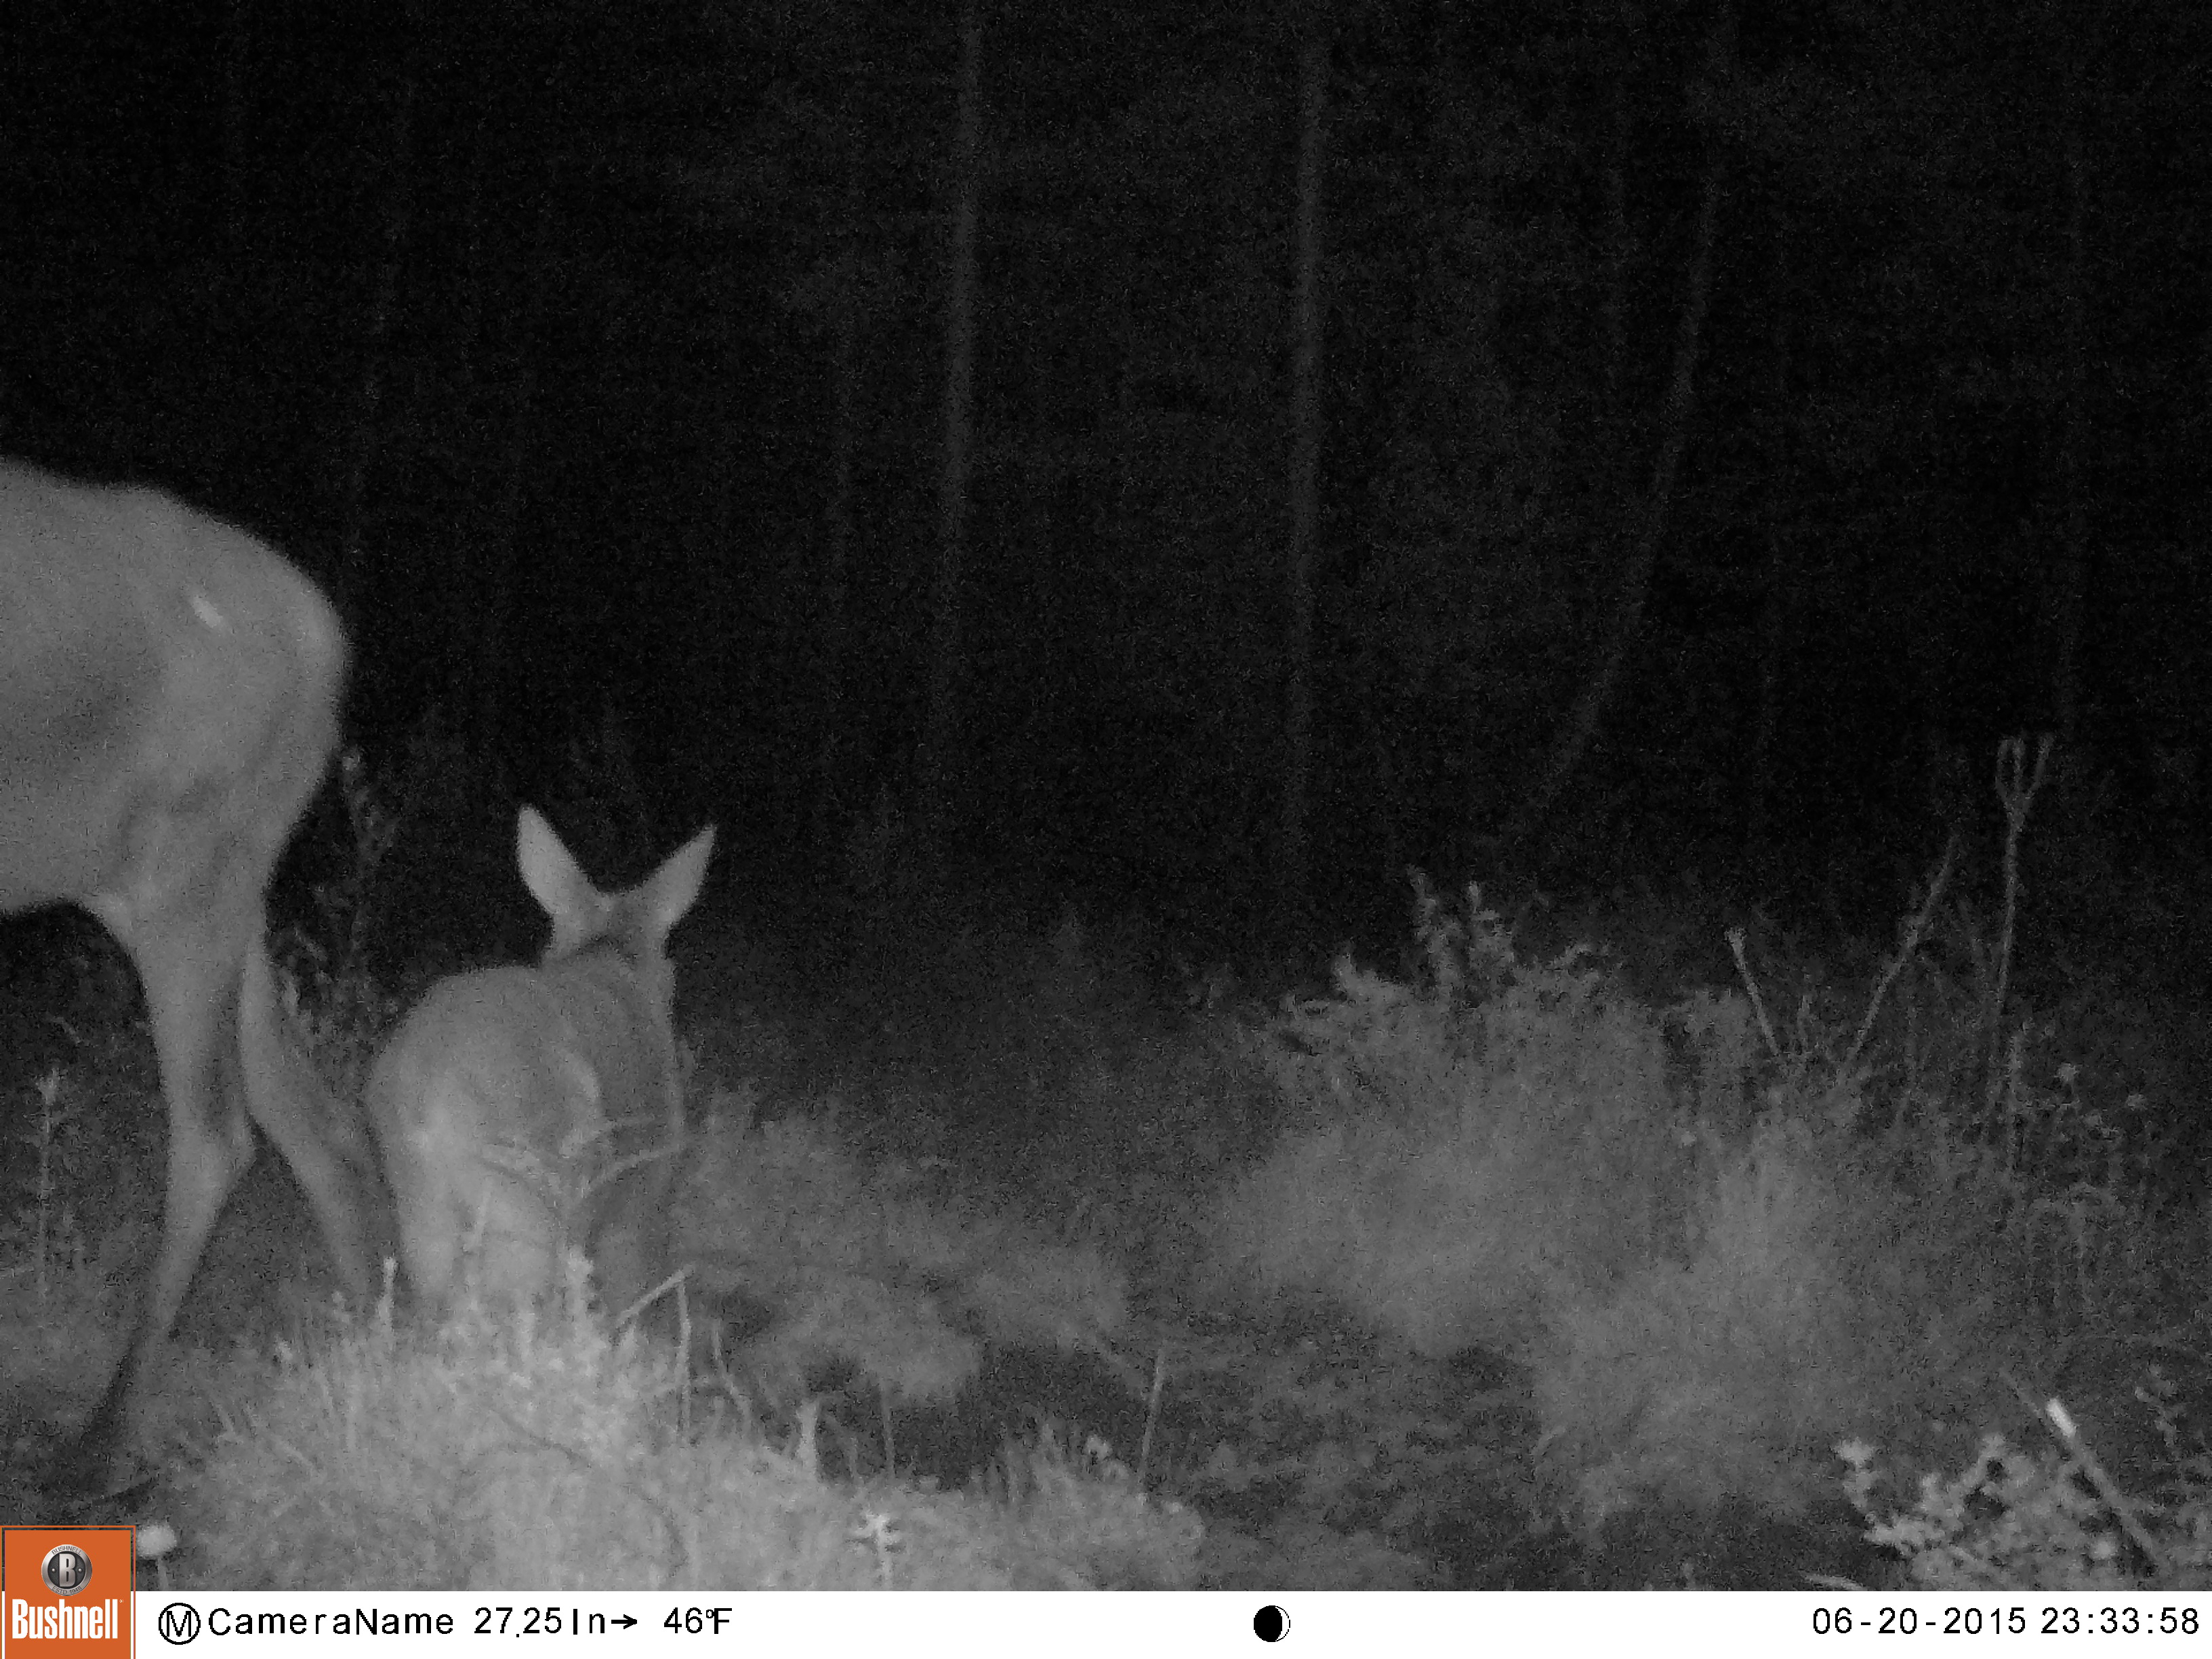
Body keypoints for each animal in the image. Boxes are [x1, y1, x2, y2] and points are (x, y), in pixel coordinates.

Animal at [0, 458, 389, 1497]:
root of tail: (330, 645)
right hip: (198, 885)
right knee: (320, 1121)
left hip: (180, 874)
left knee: (219, 1131)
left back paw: (99, 1443)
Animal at [364, 807, 713, 1329]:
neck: (611, 958)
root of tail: (429, 1093)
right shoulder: (640, 1198)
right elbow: (628, 1296)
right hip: (534, 1207)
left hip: (422, 1213)